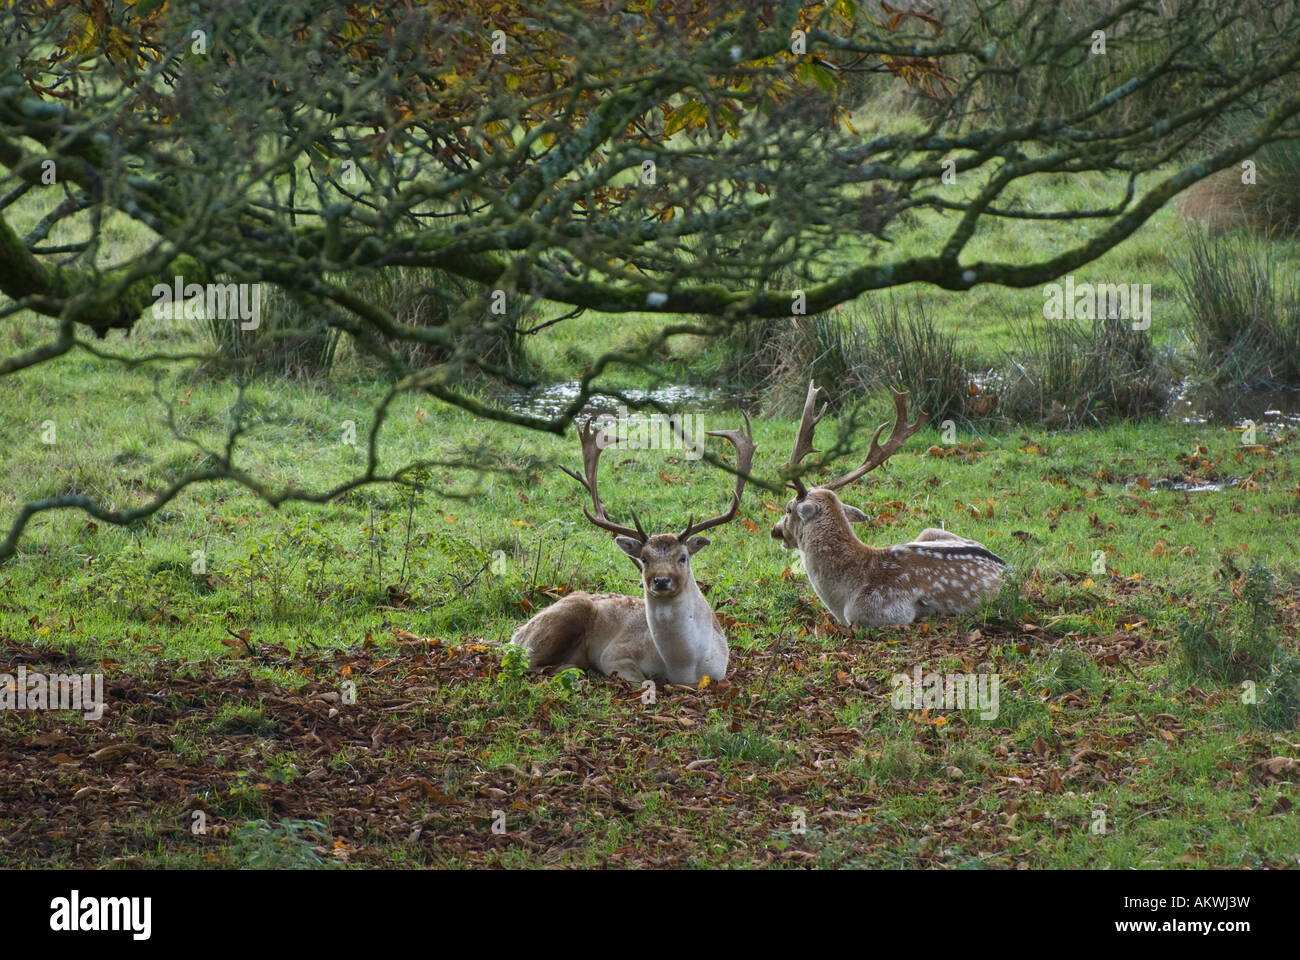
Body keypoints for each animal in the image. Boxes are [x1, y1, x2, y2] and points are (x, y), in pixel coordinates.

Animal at [511, 413, 755, 685]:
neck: (683, 667)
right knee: (528, 664)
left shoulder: (719, 670)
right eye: (644, 558)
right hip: (561, 619)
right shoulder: (614, 654)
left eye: (683, 557)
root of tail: (517, 633)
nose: (661, 581)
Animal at [770, 381, 1005, 629]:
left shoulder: (880, 612)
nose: (775, 530)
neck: (844, 596)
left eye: (788, 509)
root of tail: (1006, 567)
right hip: (929, 531)